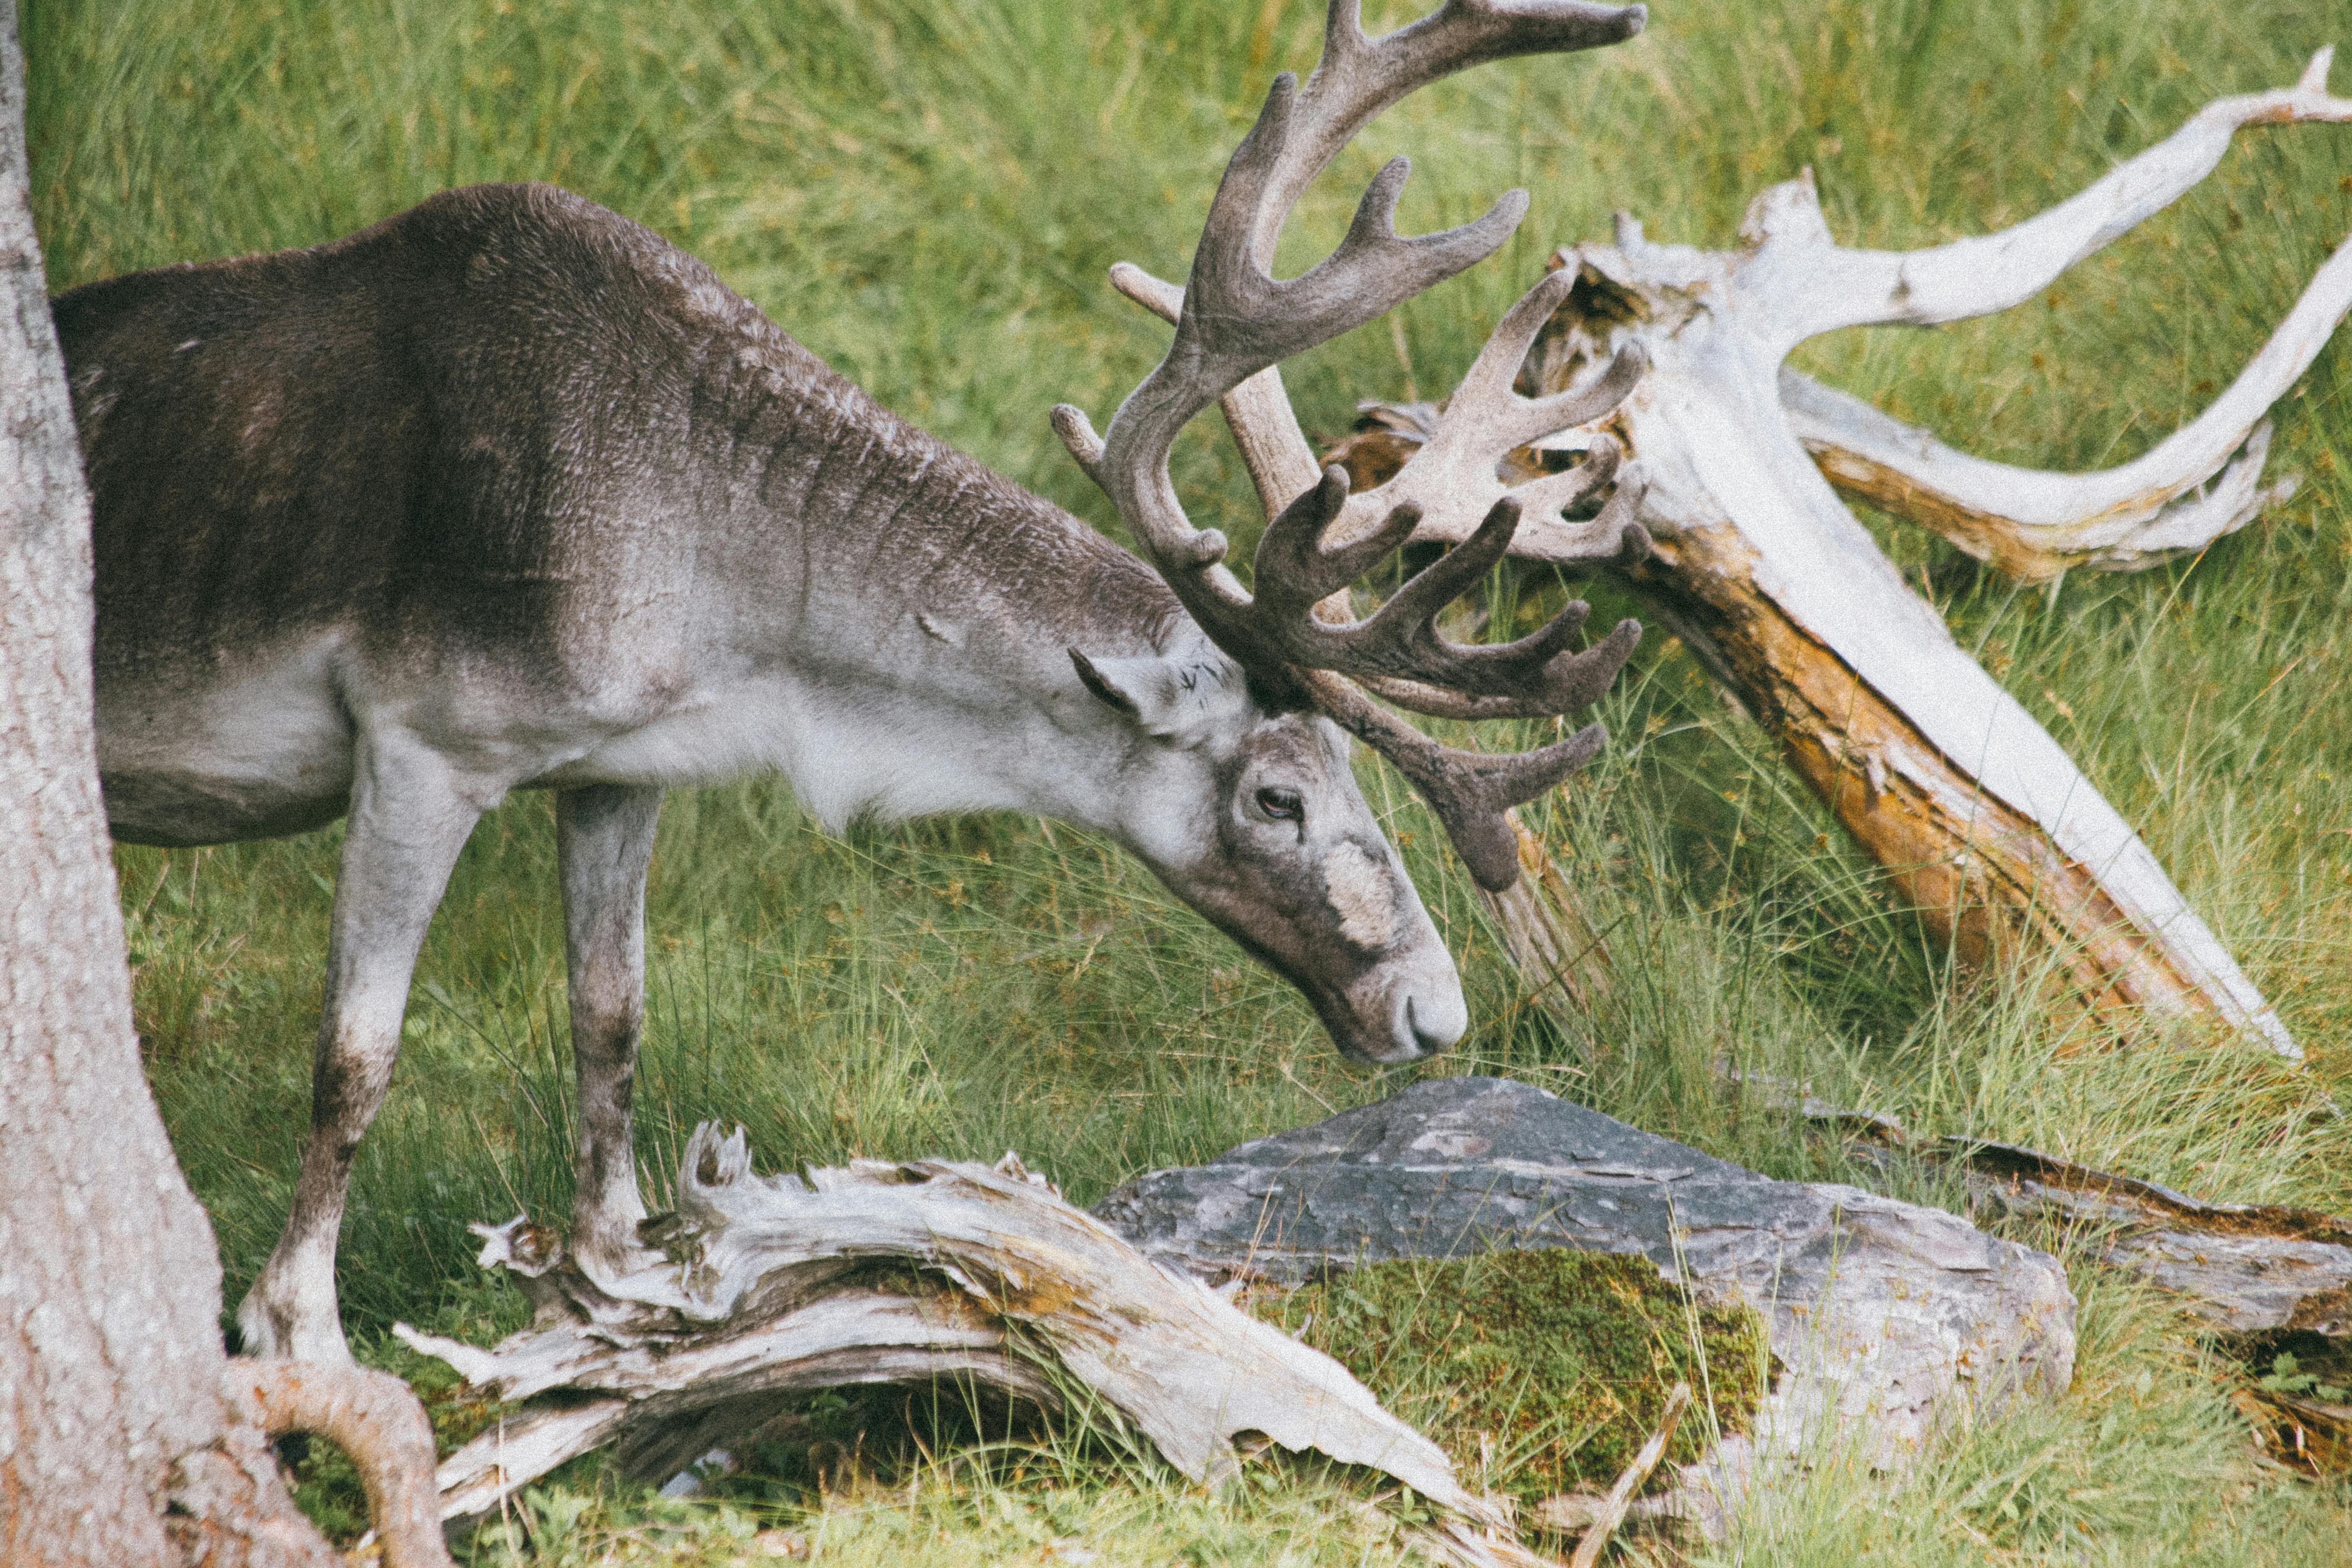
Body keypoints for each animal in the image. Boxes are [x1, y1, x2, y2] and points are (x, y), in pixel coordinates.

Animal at [55, 0, 1652, 1366]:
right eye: (1273, 794)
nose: (1435, 1011)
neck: (739, 625)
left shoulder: (615, 763)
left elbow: (609, 1018)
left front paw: (614, 1280)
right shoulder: (418, 741)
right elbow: (357, 1052)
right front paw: (291, 1326)